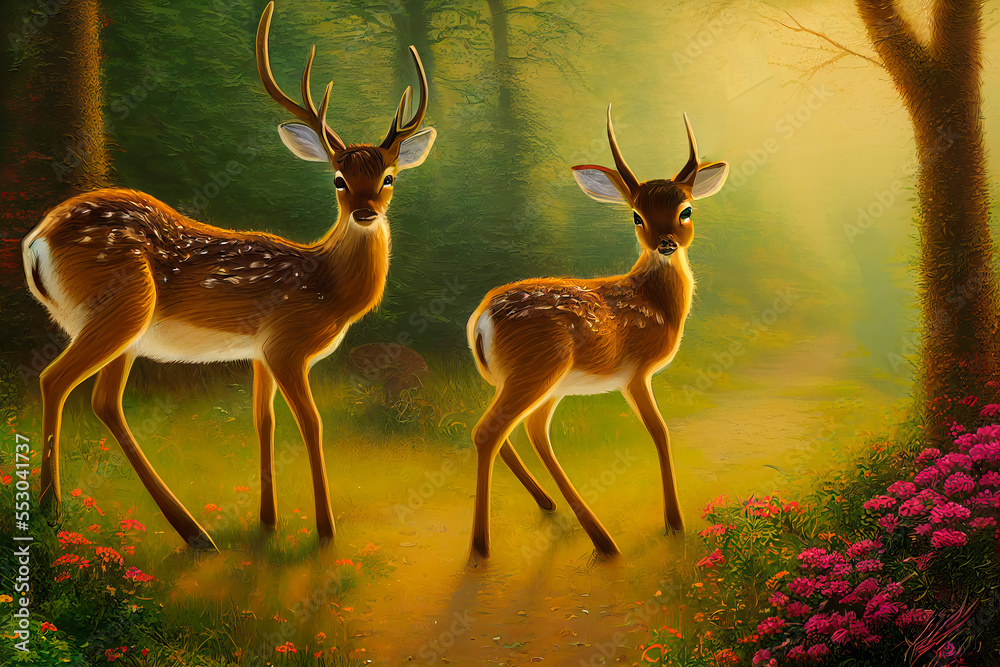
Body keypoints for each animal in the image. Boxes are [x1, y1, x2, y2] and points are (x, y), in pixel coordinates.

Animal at [21, 1, 438, 550]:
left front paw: (268, 522)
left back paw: (193, 531)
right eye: (338, 179)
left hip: (124, 327)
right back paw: (51, 513)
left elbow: (263, 422)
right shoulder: (287, 345)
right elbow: (312, 425)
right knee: (53, 379)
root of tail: (36, 240)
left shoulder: (259, 352)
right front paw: (326, 531)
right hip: (120, 306)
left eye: (389, 177)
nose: (366, 212)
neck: (327, 287)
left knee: (104, 401)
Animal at [465, 106, 729, 560]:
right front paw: (675, 523)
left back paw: (582, 526)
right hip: (536, 370)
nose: (665, 243)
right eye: (637, 215)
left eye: (687, 210)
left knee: (528, 431)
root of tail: (481, 320)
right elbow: (660, 432)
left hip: (539, 380)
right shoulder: (636, 371)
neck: (655, 302)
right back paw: (482, 548)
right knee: (489, 431)